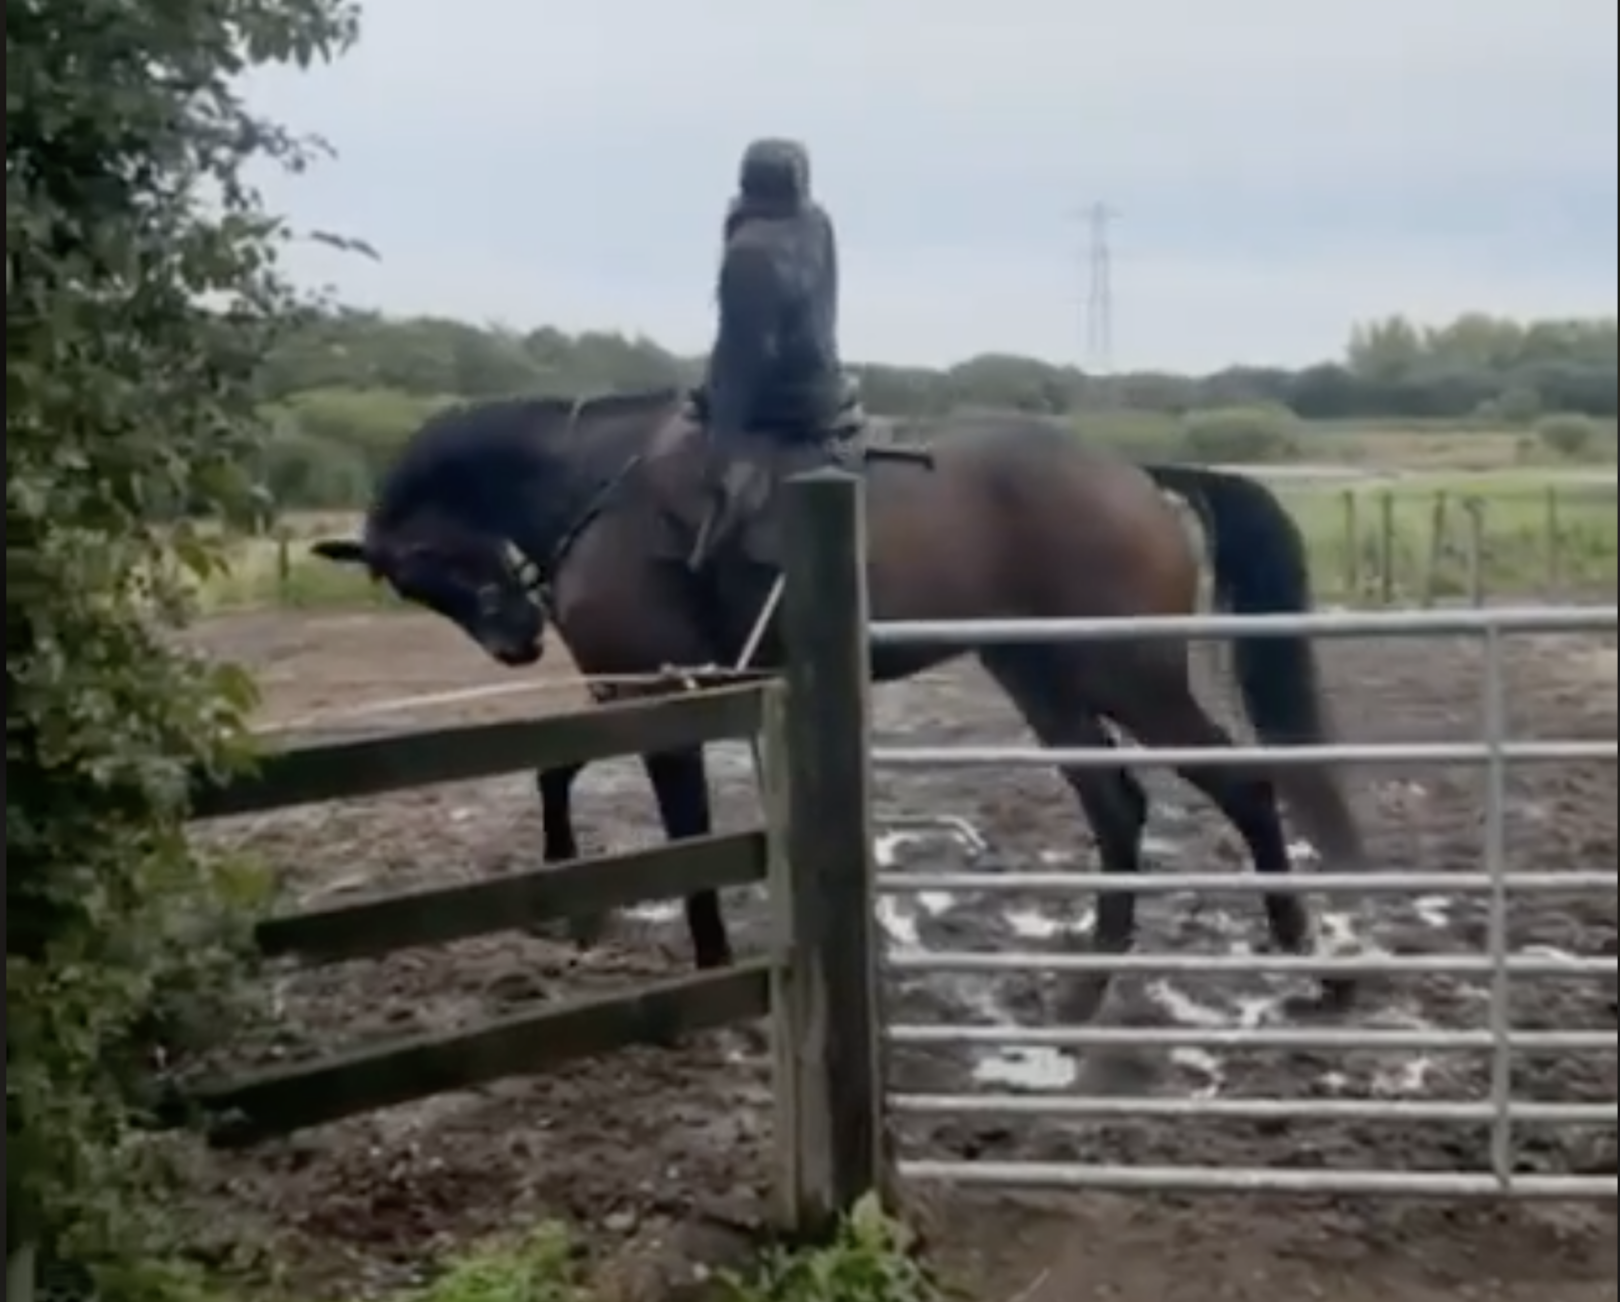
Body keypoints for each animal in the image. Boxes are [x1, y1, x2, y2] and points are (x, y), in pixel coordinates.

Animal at [310, 389, 1368, 1021]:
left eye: (428, 562)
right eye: (412, 584)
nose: (517, 639)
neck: (595, 486)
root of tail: (1134, 475)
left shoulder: (660, 694)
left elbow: (682, 835)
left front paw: (709, 964)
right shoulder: (629, 691)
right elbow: (555, 770)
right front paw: (576, 908)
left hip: (1127, 676)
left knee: (1242, 786)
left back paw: (1307, 956)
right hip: (1037, 674)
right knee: (1119, 807)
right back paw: (1089, 979)